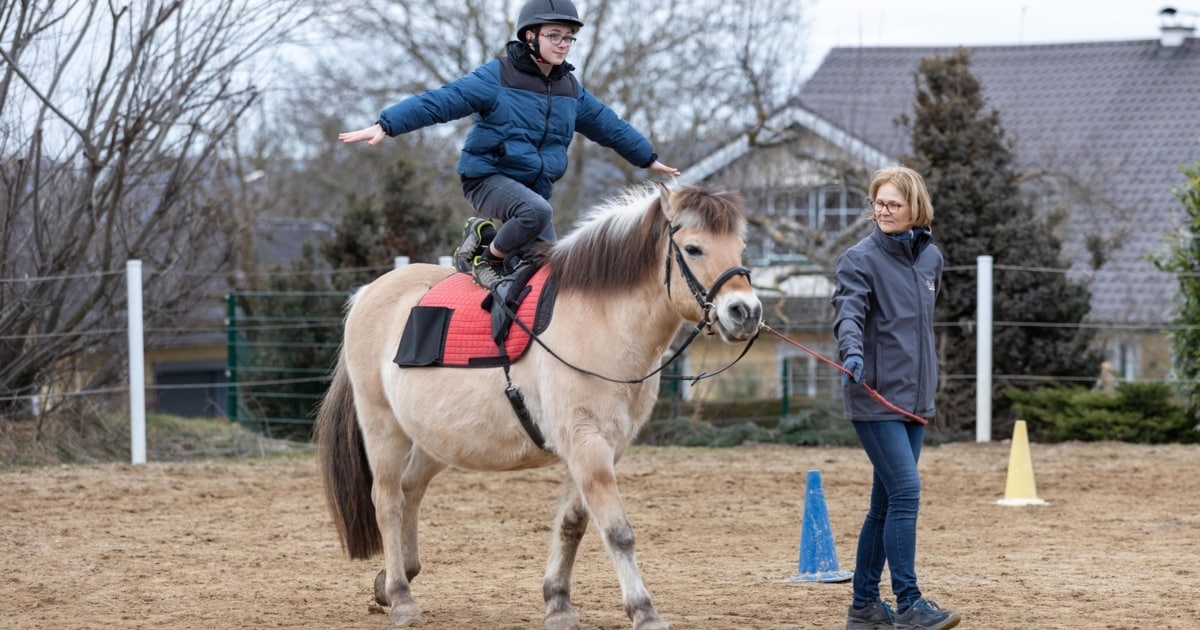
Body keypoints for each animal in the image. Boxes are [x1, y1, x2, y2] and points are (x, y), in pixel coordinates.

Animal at [314, 182, 763, 630]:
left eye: (740, 247)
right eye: (693, 249)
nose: (745, 311)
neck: (600, 322)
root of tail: (367, 293)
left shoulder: (604, 447)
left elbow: (572, 524)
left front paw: (558, 602)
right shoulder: (586, 443)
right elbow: (617, 531)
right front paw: (643, 610)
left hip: (436, 438)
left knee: (410, 489)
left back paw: (396, 577)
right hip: (381, 425)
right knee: (388, 500)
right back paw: (401, 596)